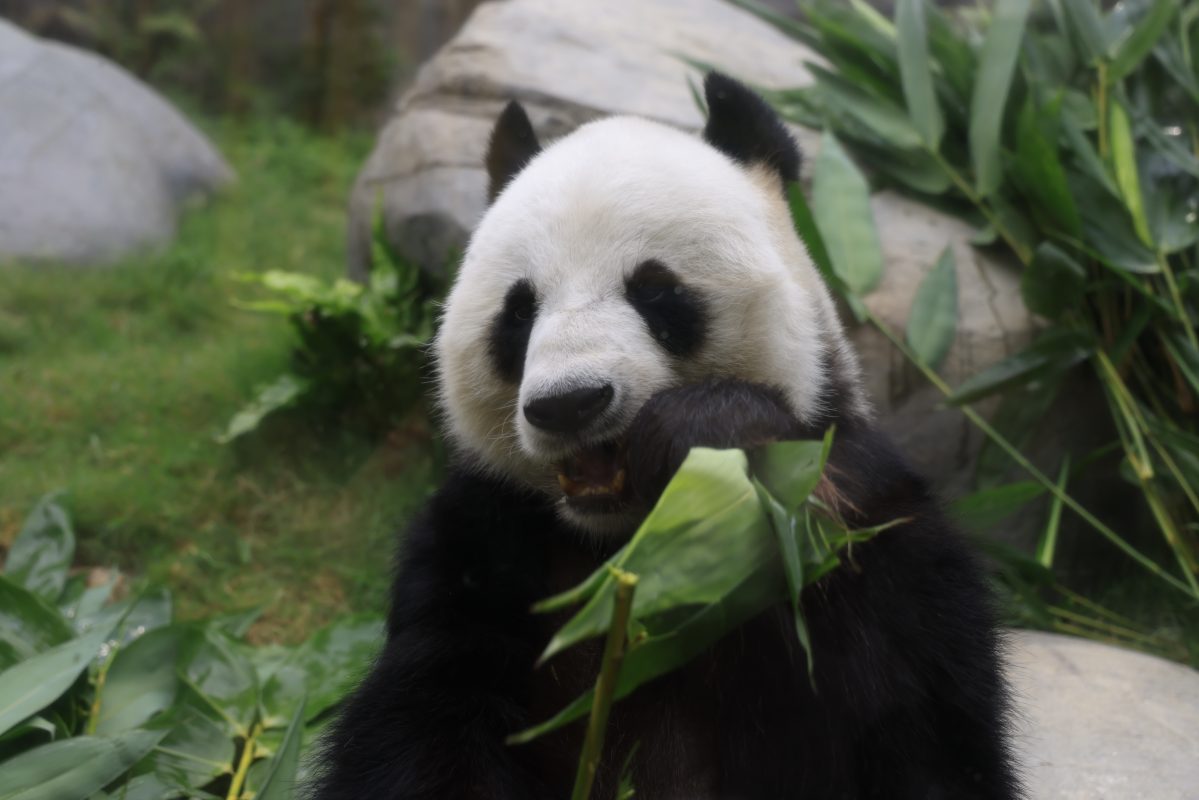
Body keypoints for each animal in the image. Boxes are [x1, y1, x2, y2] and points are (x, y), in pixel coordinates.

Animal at [313, 73, 1019, 799]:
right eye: (519, 311)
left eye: (654, 291)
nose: (569, 403)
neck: (626, 538)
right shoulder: (482, 543)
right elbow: (421, 724)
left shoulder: (865, 499)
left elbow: (911, 718)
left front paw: (710, 436)